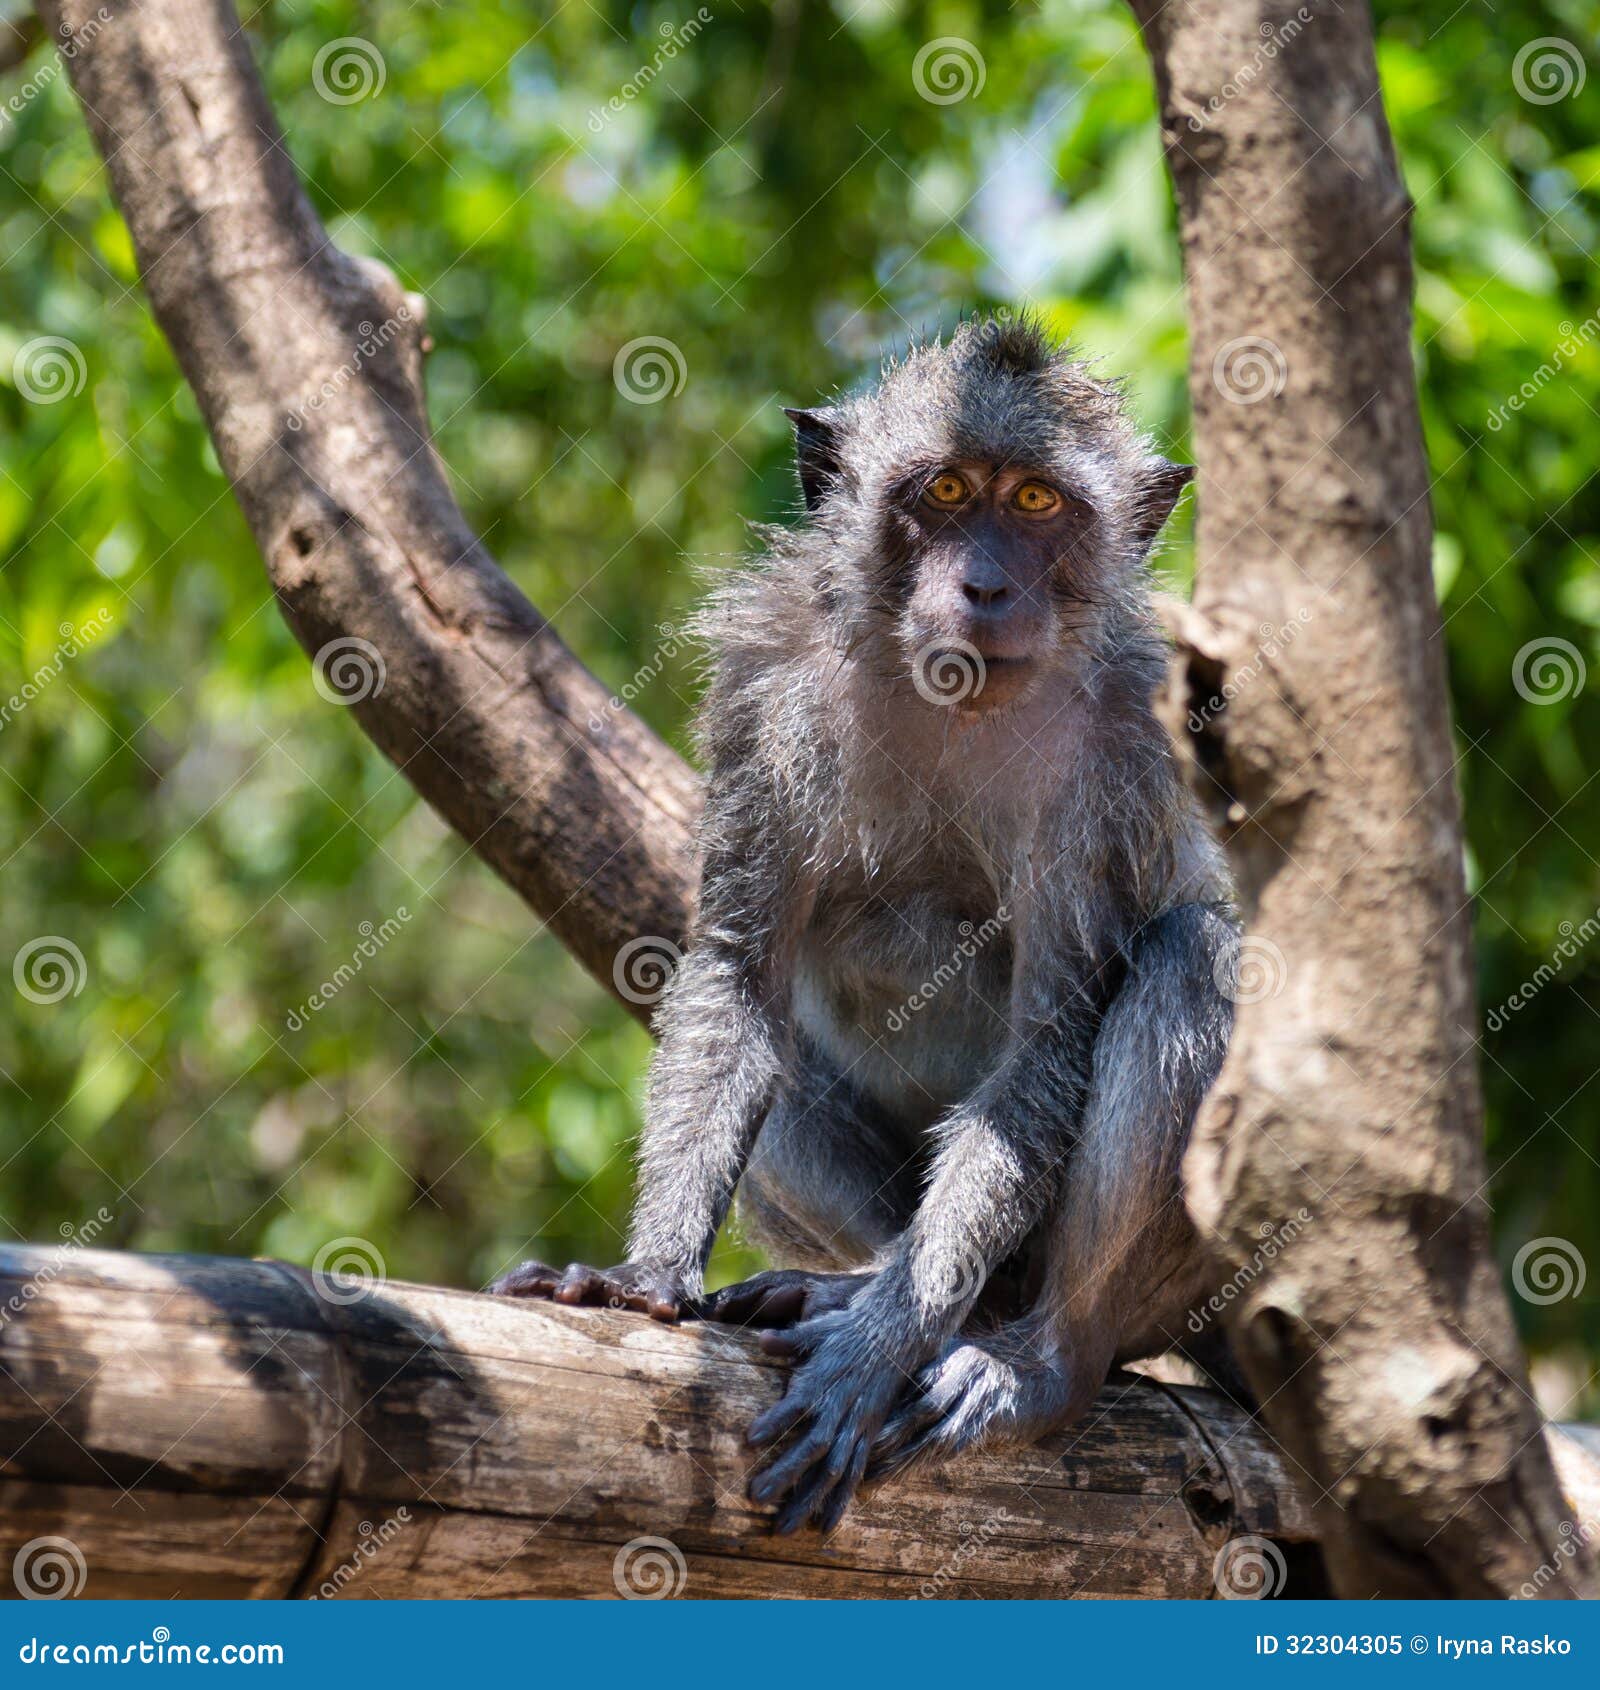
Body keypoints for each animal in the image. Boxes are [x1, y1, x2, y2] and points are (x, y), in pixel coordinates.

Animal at [492, 315, 1238, 1535]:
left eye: (1037, 502)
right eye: (944, 490)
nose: (984, 585)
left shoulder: (1122, 746)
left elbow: (1049, 1043)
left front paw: (884, 1341)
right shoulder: (764, 687)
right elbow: (736, 980)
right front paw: (644, 1279)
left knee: (1187, 961)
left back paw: (1039, 1360)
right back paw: (854, 1283)